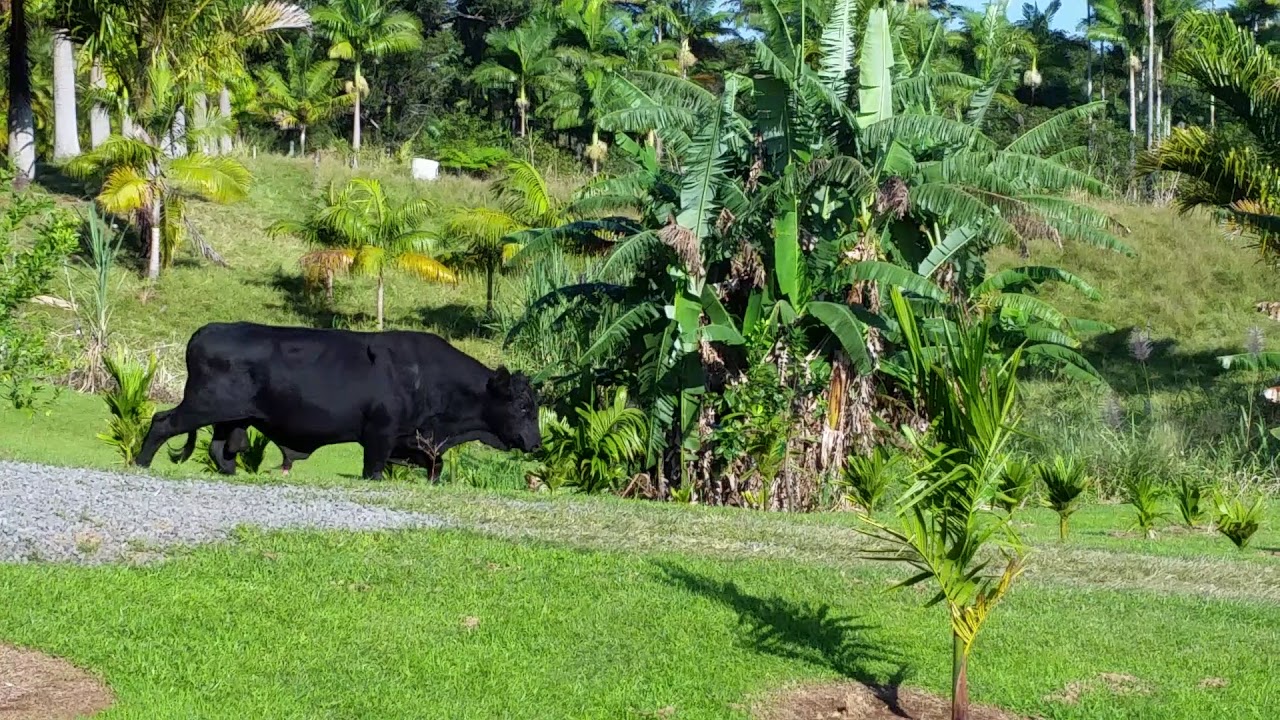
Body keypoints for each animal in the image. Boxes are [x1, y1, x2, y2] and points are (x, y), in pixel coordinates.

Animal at [135, 321, 542, 480]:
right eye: (523, 407)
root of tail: (206, 331)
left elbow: (435, 467)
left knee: (222, 450)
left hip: (231, 419)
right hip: (202, 405)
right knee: (162, 422)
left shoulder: (413, 441)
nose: (535, 443)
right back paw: (140, 464)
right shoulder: (379, 436)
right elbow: (373, 471)